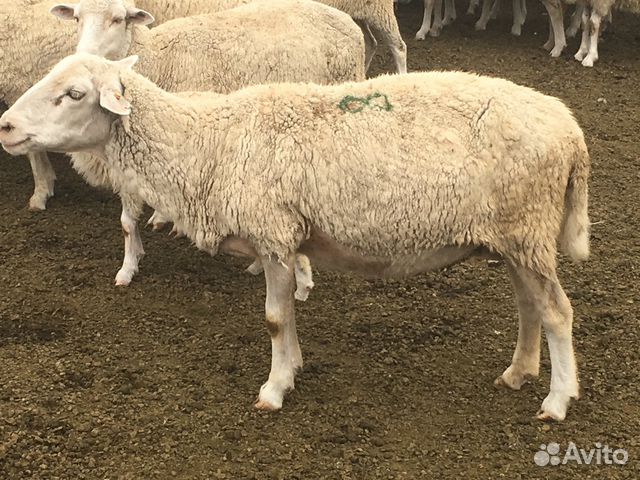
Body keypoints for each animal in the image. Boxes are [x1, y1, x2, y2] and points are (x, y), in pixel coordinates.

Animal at [1, 52, 590, 419]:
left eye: (74, 93)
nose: (6, 126)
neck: (206, 143)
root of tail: (572, 131)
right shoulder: (285, 241)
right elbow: (286, 318)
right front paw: (295, 366)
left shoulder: (275, 233)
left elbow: (274, 319)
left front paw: (274, 388)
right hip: (518, 235)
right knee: (529, 306)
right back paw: (517, 373)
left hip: (526, 225)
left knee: (558, 312)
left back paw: (557, 400)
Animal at [47, 0, 365, 287]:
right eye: (76, 17)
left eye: (118, 19)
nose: (84, 56)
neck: (158, 58)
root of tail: (345, 19)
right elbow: (127, 221)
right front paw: (130, 264)